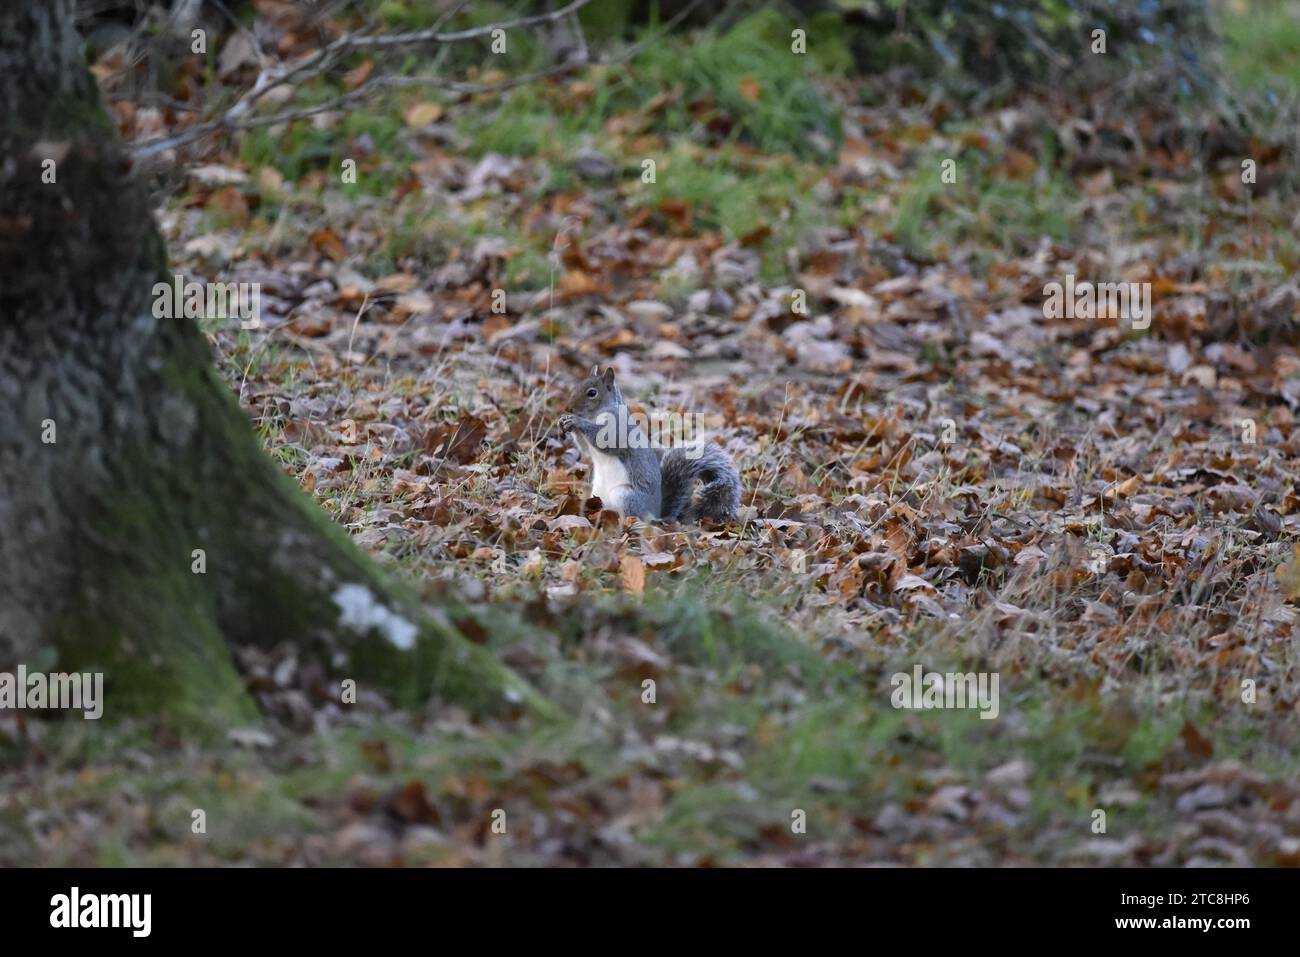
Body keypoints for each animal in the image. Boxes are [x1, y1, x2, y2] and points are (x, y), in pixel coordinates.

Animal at [558, 366, 741, 523]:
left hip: (625, 496)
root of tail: (656, 514)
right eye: (577, 386)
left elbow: (605, 441)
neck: (596, 414)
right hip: (597, 493)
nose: (568, 408)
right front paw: (564, 422)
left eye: (592, 393)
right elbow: (585, 449)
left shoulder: (617, 427)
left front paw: (577, 421)